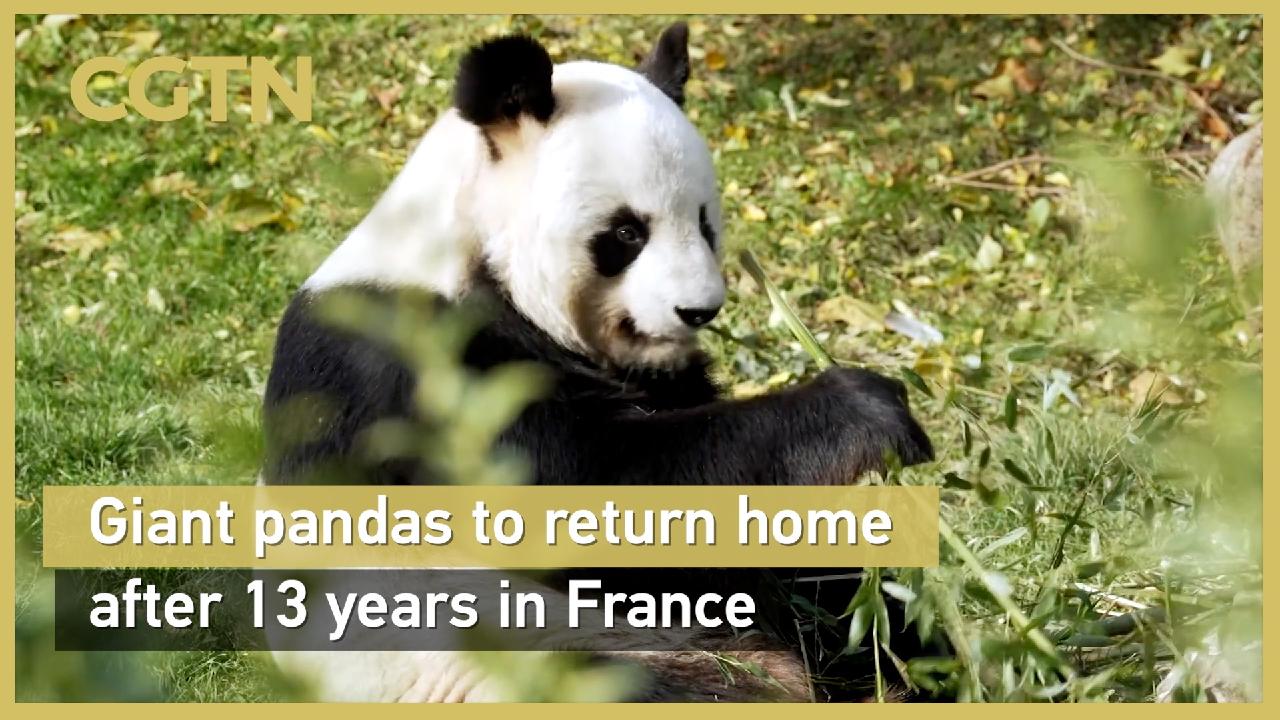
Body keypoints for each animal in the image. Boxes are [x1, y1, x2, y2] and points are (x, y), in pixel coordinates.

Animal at [262, 23, 934, 702]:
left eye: (704, 223)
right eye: (627, 233)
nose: (698, 310)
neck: (467, 251)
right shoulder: (415, 368)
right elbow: (587, 496)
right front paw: (865, 411)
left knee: (853, 610)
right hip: (513, 657)